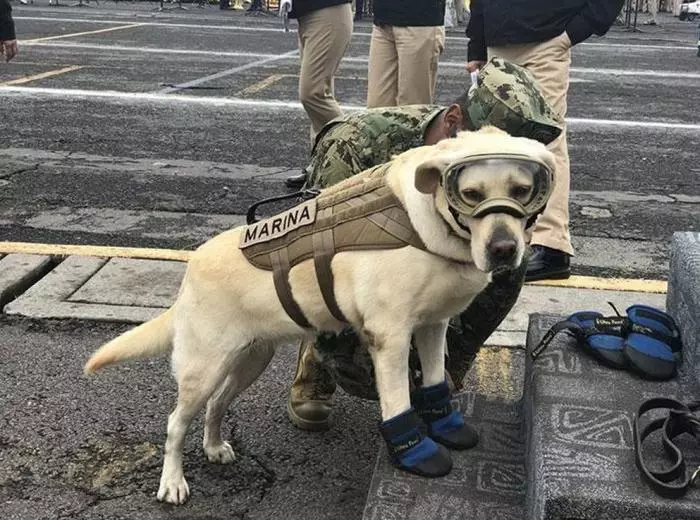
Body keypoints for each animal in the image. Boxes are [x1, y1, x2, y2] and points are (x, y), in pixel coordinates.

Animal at [83, 126, 552, 504]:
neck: (429, 224)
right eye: (470, 194)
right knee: (175, 423)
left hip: (249, 360)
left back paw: (214, 447)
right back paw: (173, 482)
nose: (505, 250)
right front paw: (416, 452)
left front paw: (447, 426)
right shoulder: (390, 338)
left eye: (522, 190)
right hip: (204, 368)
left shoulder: (433, 327)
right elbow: (399, 402)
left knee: (216, 405)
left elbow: (435, 382)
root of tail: (190, 272)